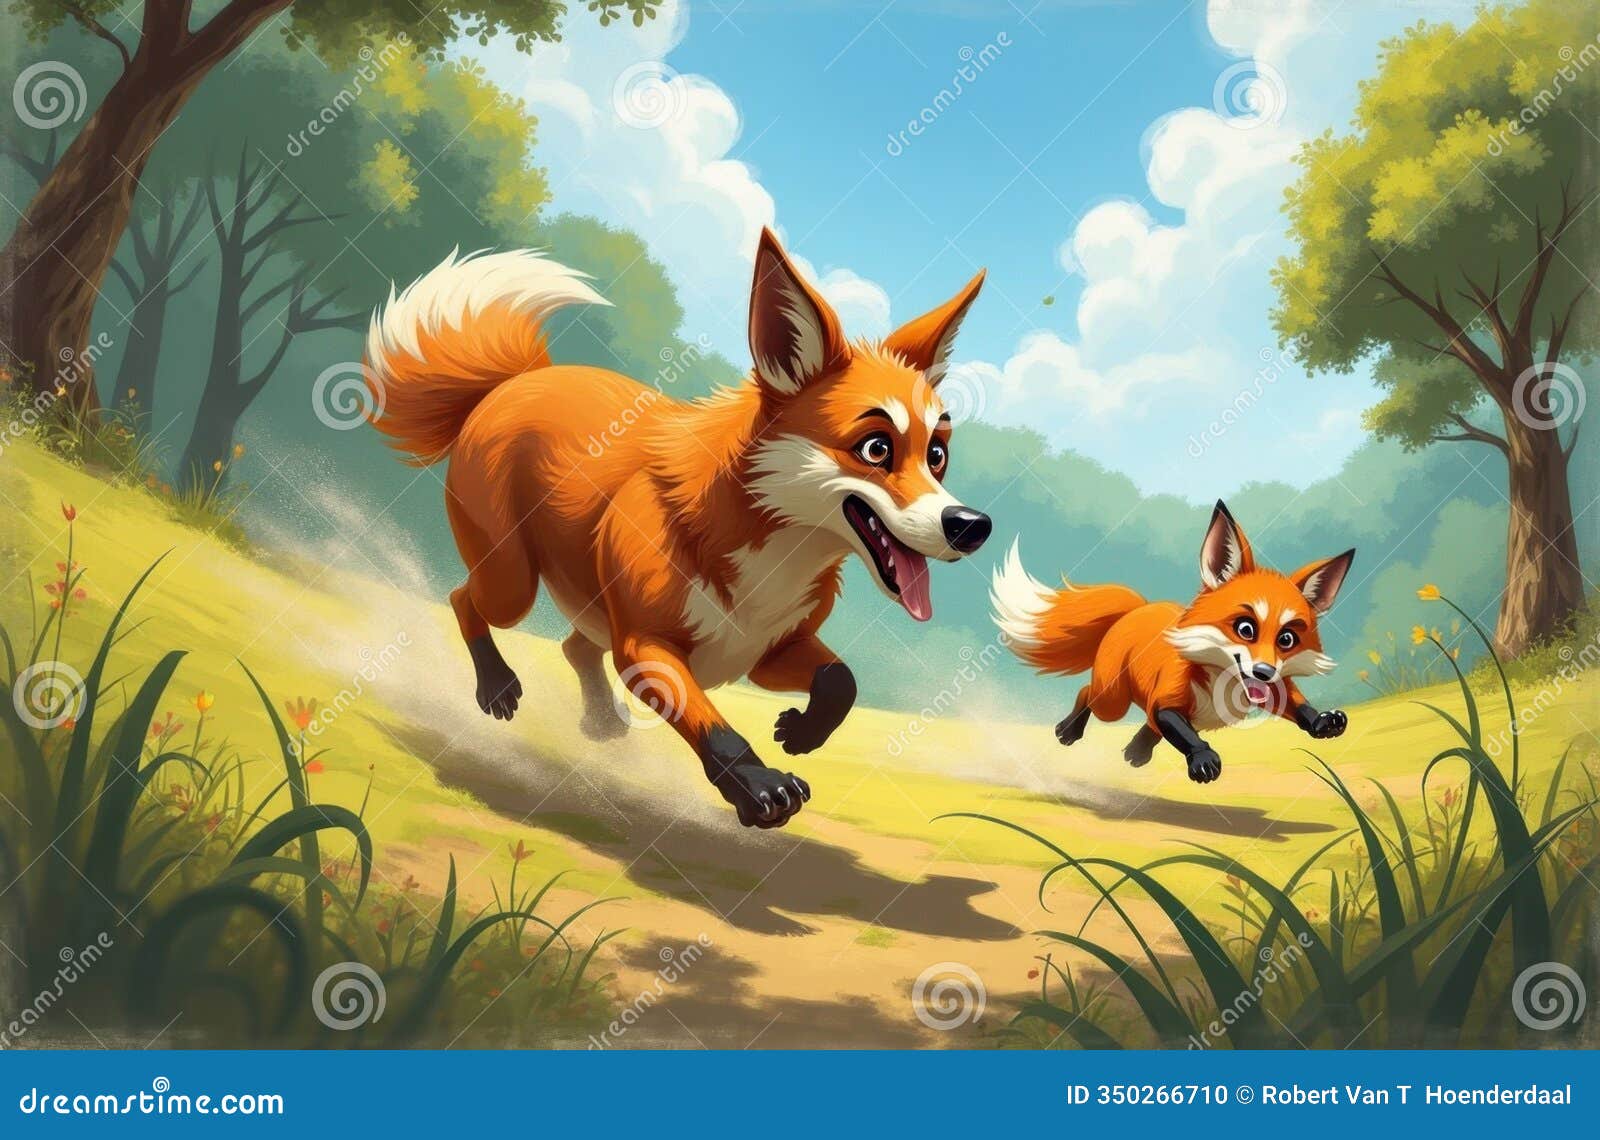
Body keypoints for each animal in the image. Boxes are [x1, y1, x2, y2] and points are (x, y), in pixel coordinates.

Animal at [364, 228, 993, 828]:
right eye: (876, 448)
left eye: (937, 455)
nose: (973, 526)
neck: (769, 557)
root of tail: (518, 380)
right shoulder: (648, 649)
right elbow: (716, 729)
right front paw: (759, 786)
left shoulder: (764, 651)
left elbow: (843, 682)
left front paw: (801, 731)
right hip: (511, 585)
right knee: (463, 598)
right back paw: (495, 687)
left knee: (573, 645)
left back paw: (599, 720)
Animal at [990, 501, 1354, 783]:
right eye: (1246, 628)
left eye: (1287, 638)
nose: (1263, 672)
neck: (1222, 684)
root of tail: (1137, 608)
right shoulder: (1168, 696)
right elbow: (1180, 728)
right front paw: (1203, 759)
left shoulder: (1273, 691)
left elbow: (1297, 706)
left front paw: (1322, 722)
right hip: (1112, 700)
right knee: (1087, 693)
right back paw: (1068, 731)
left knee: (1146, 726)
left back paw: (1136, 752)